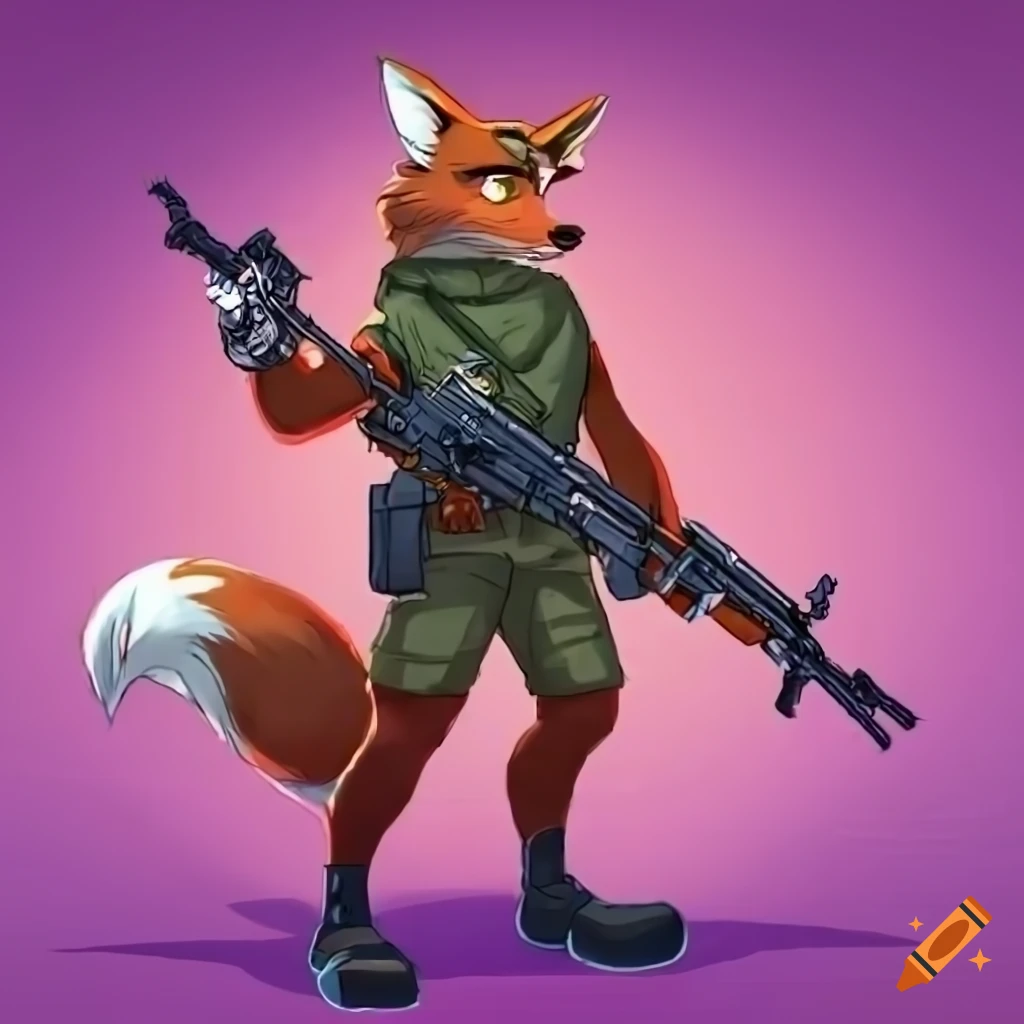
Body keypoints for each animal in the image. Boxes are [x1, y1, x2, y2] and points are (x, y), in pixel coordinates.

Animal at [84, 59, 694, 1013]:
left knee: (575, 711)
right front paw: (248, 312)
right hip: (438, 601)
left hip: (553, 589)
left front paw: (676, 556)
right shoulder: (378, 362)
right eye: (498, 182)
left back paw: (564, 905)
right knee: (392, 752)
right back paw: (354, 942)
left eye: (552, 180)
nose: (567, 232)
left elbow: (618, 431)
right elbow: (324, 392)